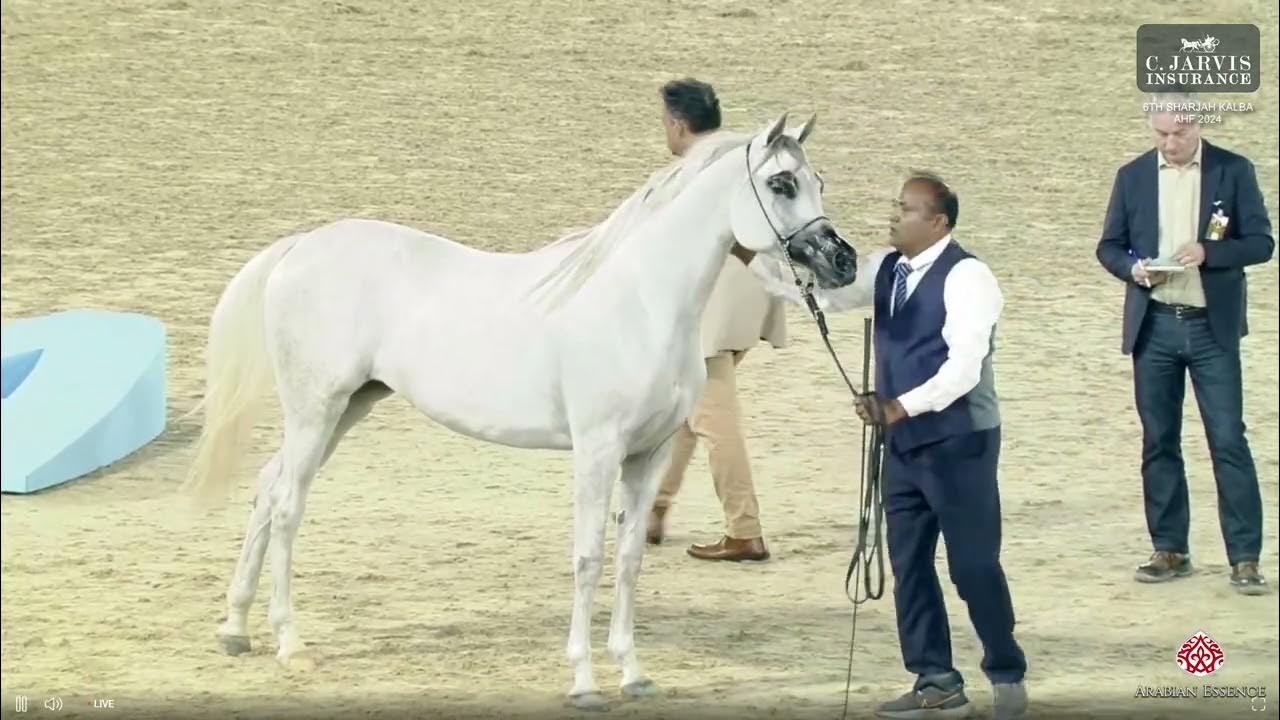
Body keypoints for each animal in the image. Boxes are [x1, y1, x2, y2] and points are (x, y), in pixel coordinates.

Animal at [182, 112, 858, 710]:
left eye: (819, 180)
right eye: (781, 183)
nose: (843, 261)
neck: (639, 302)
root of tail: (300, 248)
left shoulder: (648, 456)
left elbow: (630, 559)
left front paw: (634, 674)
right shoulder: (597, 451)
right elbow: (588, 558)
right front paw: (584, 683)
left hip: (347, 407)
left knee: (268, 488)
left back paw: (235, 628)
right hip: (316, 409)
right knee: (288, 507)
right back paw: (290, 644)